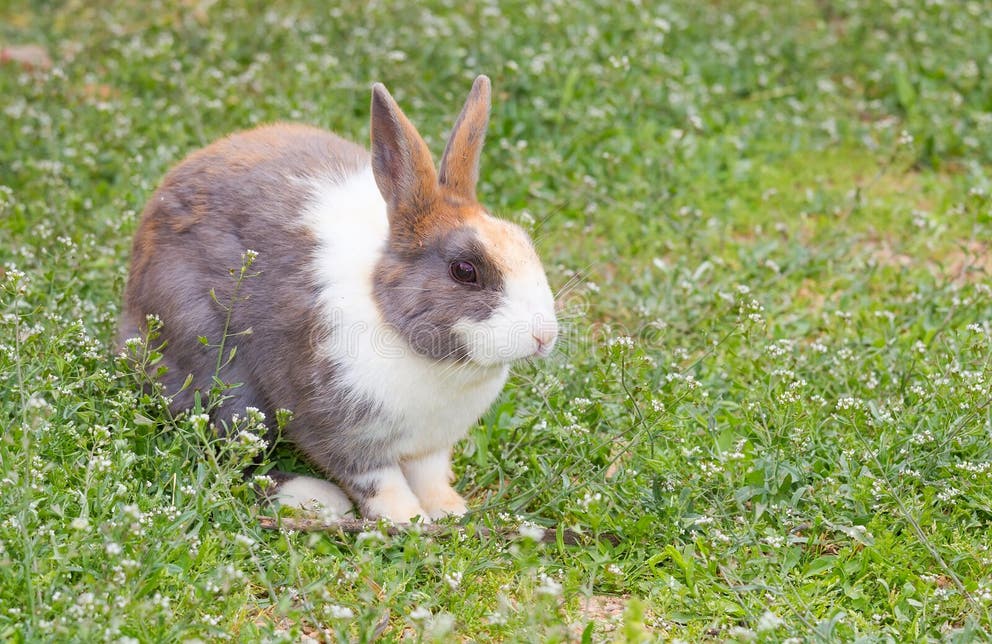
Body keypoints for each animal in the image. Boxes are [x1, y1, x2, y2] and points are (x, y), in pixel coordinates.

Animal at [118, 76, 558, 522]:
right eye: (464, 270)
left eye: (524, 241)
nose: (544, 336)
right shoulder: (345, 434)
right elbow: (377, 481)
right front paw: (406, 519)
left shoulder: (430, 446)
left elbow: (430, 476)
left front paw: (449, 510)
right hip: (223, 379)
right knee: (233, 456)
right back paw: (316, 498)